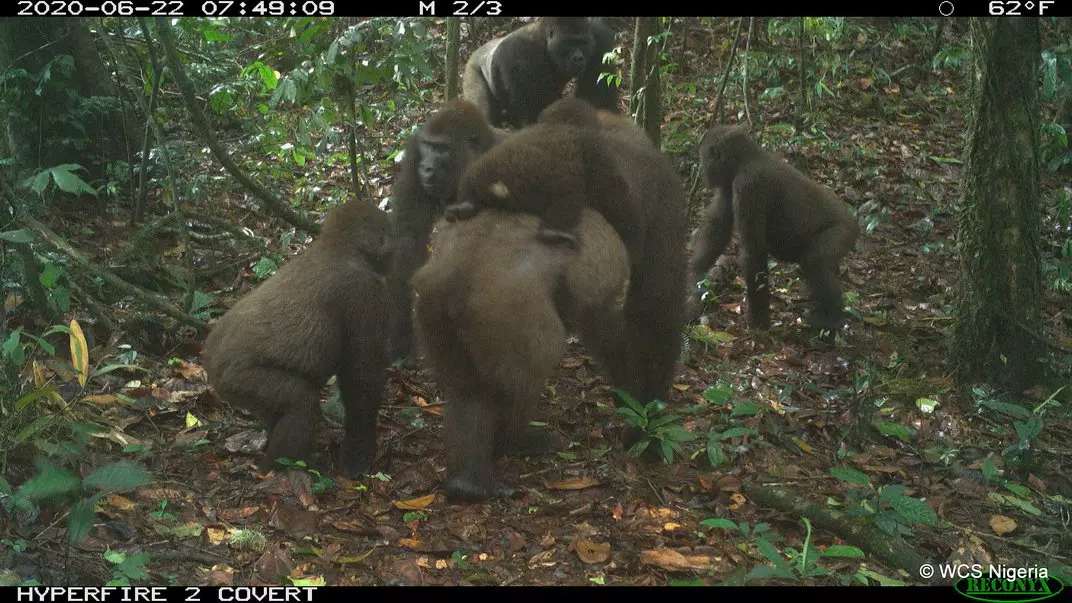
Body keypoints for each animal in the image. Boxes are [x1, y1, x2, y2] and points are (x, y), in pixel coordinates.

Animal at [201, 199, 394, 476]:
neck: (336, 246)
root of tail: (207, 360)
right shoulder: (365, 293)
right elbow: (361, 379)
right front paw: (359, 449)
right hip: (235, 379)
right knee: (301, 402)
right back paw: (284, 465)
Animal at [407, 206, 626, 497]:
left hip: (433, 310)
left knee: (468, 392)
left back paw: (467, 483)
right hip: (510, 326)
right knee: (517, 388)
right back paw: (513, 443)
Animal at [460, 16, 621, 127]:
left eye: (583, 42)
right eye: (568, 43)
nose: (578, 58)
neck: (545, 40)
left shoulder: (600, 37)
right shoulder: (521, 53)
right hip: (471, 70)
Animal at [690, 126, 857, 332]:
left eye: (705, 157)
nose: (703, 173)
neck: (746, 158)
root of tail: (854, 221)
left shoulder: (749, 185)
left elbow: (753, 251)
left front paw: (759, 323)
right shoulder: (729, 185)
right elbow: (717, 230)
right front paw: (695, 276)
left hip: (843, 232)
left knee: (815, 262)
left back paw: (831, 318)